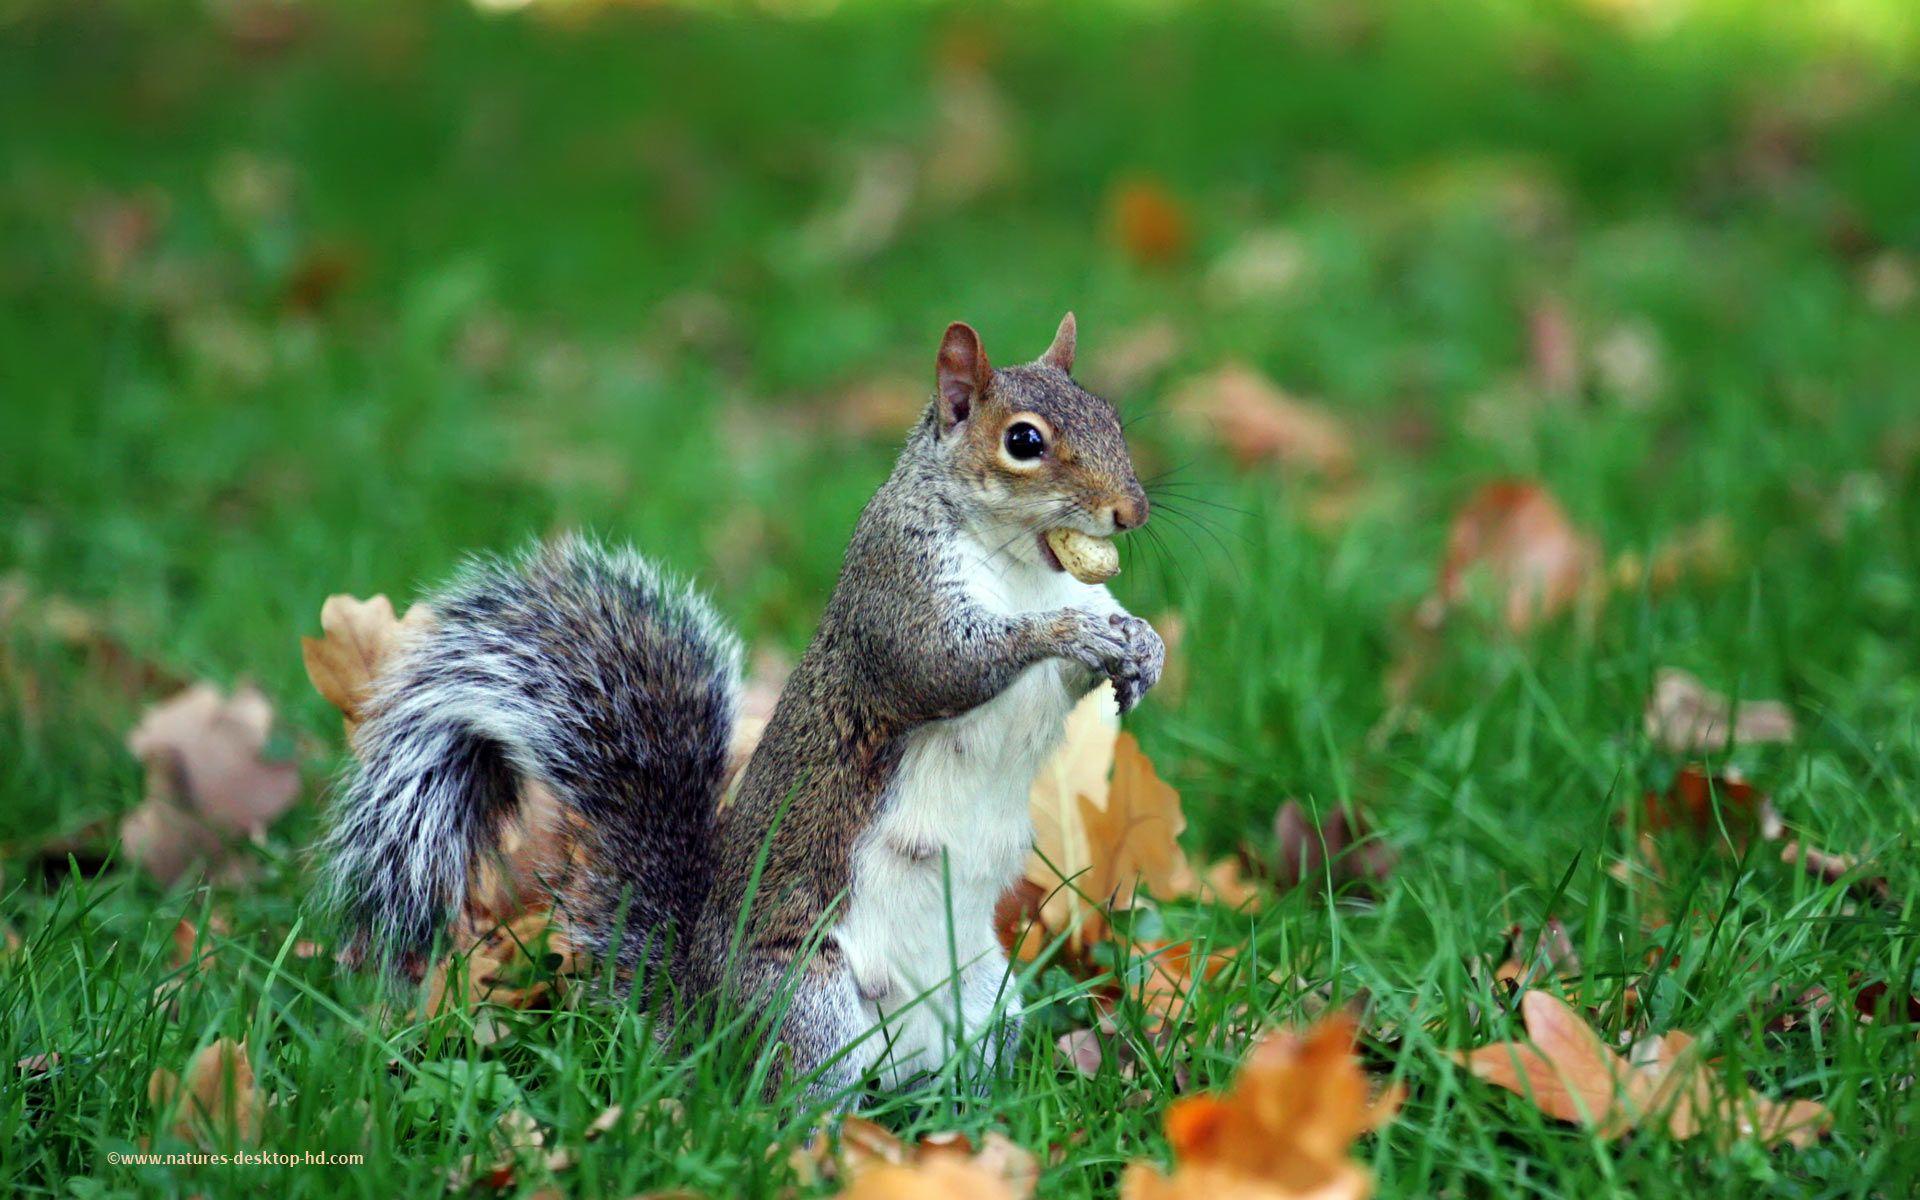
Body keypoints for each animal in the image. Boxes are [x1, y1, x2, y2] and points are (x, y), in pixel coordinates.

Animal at [323, 314, 1163, 1097]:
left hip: (986, 999)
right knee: (792, 1103)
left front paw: (1143, 647)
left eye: (1112, 416)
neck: (1026, 563)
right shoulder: (896, 593)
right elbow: (944, 666)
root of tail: (697, 1018)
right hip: (806, 1002)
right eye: (1023, 441)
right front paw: (1072, 631)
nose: (1132, 511)